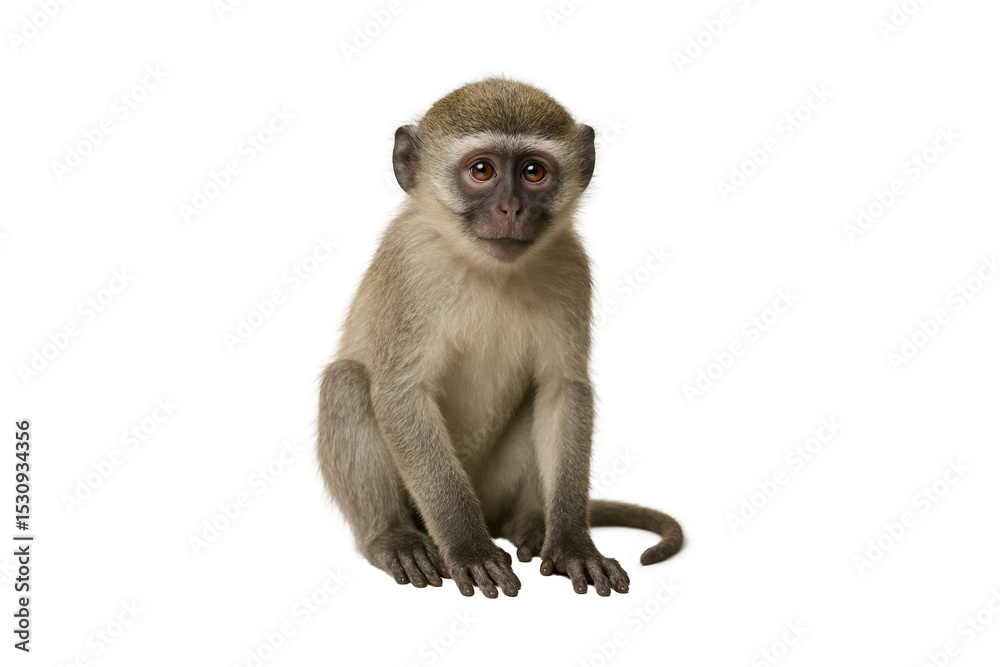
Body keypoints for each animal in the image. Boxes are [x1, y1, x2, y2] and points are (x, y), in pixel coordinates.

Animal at [317, 77, 682, 598]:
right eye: (482, 171)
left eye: (533, 172)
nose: (511, 207)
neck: (486, 268)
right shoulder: (408, 263)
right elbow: (400, 392)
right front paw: (468, 548)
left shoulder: (571, 264)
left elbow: (562, 389)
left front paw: (573, 544)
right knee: (346, 381)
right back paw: (393, 536)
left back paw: (530, 524)